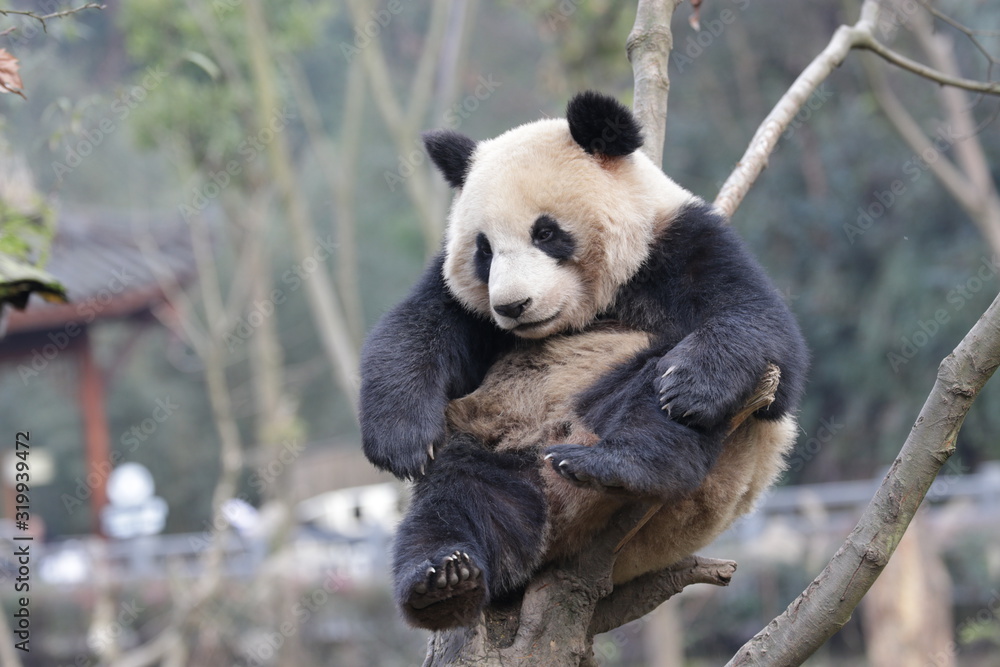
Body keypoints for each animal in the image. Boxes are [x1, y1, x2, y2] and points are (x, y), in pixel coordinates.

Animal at [359, 91, 807, 631]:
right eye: (484, 250)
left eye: (545, 232)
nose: (512, 306)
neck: (584, 309)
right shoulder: (464, 304)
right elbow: (415, 331)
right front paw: (401, 440)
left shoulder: (683, 243)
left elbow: (763, 330)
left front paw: (691, 387)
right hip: (489, 445)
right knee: (458, 498)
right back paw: (443, 580)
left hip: (701, 486)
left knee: (649, 391)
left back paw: (618, 463)